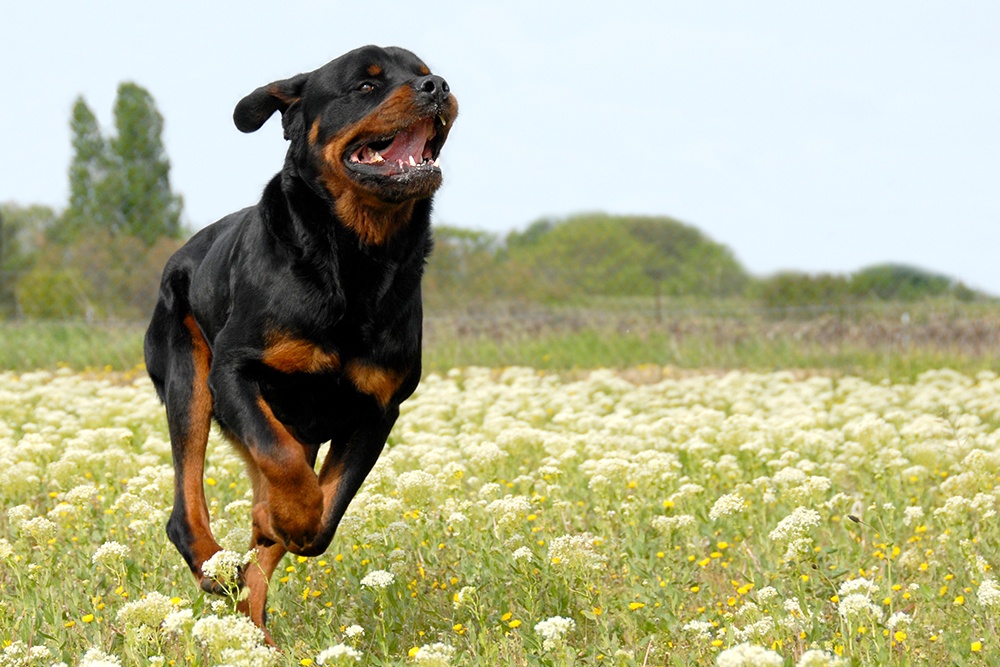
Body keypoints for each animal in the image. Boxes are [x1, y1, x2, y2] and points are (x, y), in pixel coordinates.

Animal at [144, 47, 458, 636]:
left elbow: (325, 510)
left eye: (425, 72)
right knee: (187, 507)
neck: (357, 256)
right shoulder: (234, 372)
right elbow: (282, 460)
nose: (438, 87)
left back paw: (254, 629)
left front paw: (290, 521)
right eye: (365, 85)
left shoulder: (379, 407)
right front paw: (288, 514)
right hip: (188, 376)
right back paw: (214, 566)